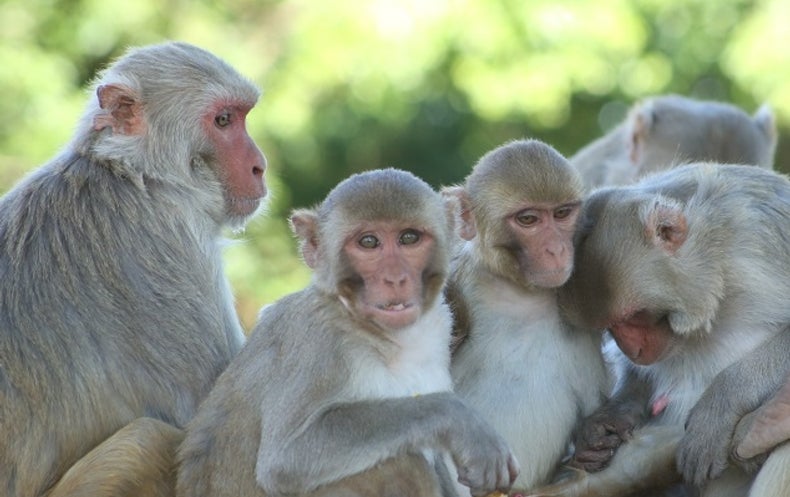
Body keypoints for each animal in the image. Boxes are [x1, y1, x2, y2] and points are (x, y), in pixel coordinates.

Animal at [0, 41, 267, 497]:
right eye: (223, 120)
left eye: (241, 115)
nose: (259, 166)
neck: (132, 173)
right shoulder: (173, 240)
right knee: (148, 441)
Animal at [175, 168, 520, 497]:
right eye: (368, 242)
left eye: (409, 237)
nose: (394, 277)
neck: (384, 337)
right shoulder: (317, 341)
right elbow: (286, 457)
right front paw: (464, 424)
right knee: (405, 466)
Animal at [524, 163, 790, 497]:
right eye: (609, 326)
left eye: (636, 315)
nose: (634, 350)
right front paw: (605, 421)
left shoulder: (757, 244)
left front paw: (718, 408)